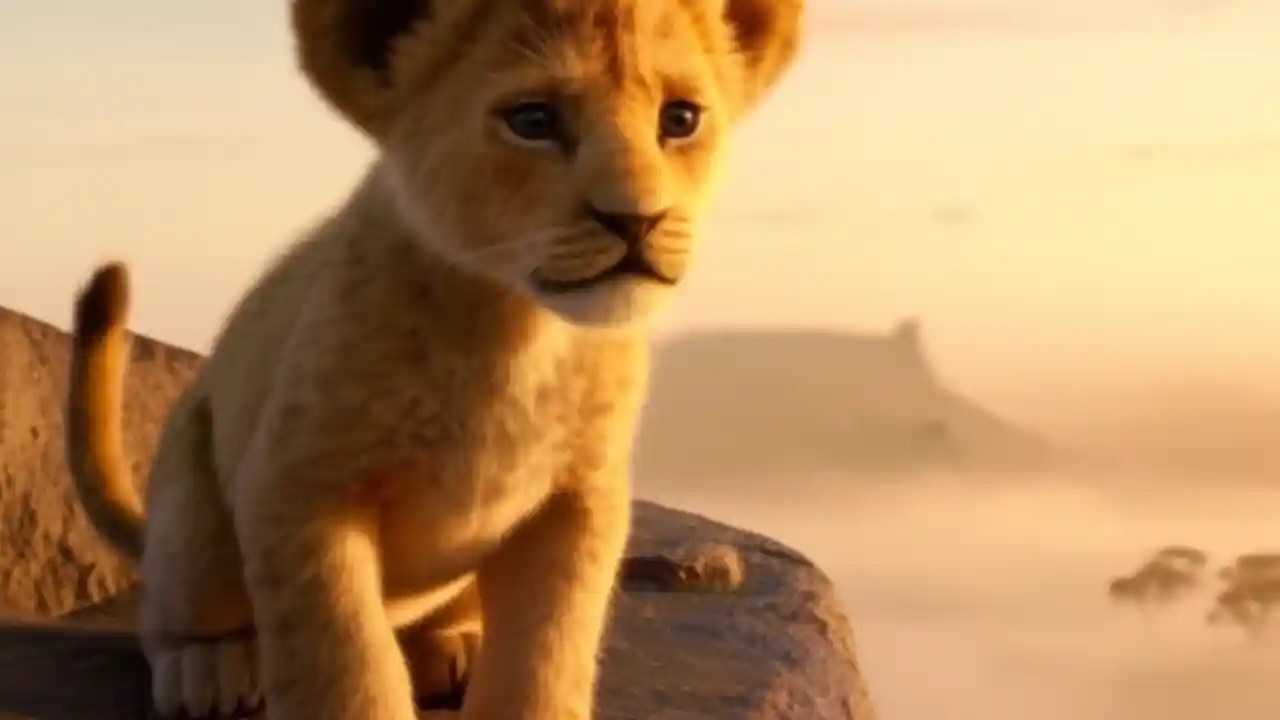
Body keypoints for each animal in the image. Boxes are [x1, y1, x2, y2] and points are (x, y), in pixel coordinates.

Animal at [63, 1, 804, 718]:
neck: (517, 330)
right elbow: (342, 662)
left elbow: (548, 652)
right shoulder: (298, 484)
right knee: (179, 602)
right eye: (532, 120)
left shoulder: (580, 498)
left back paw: (453, 645)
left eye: (679, 119)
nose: (637, 220)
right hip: (191, 491)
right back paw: (209, 667)